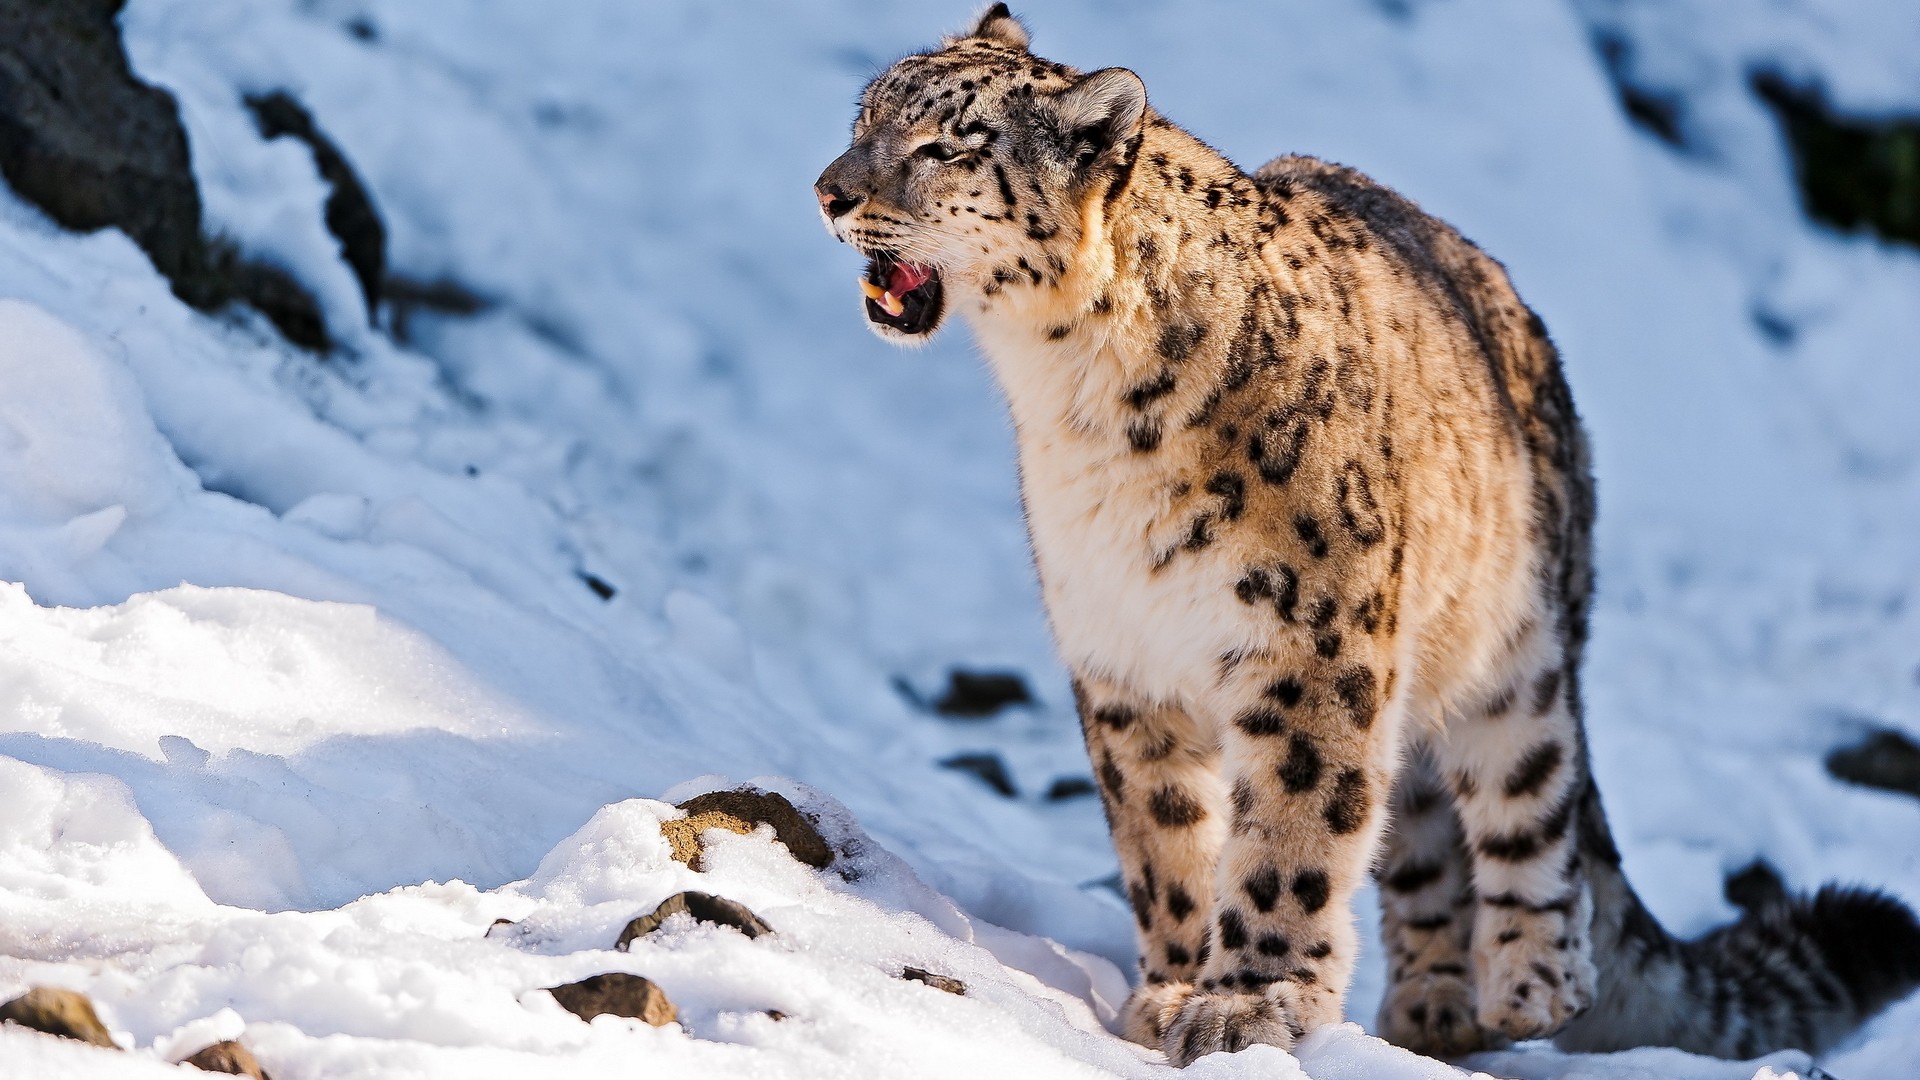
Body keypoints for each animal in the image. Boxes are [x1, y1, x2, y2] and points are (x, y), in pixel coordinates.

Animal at [816, 5, 1920, 1066]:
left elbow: (1291, 828)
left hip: (1512, 652)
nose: (828, 191)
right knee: (1421, 832)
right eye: (864, 119)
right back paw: (1433, 1008)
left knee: (1538, 799)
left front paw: (1244, 1005)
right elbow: (1163, 839)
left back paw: (1527, 980)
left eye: (943, 144)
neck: (1074, 406)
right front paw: (1172, 986)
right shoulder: (1121, 657)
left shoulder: (1308, 641)